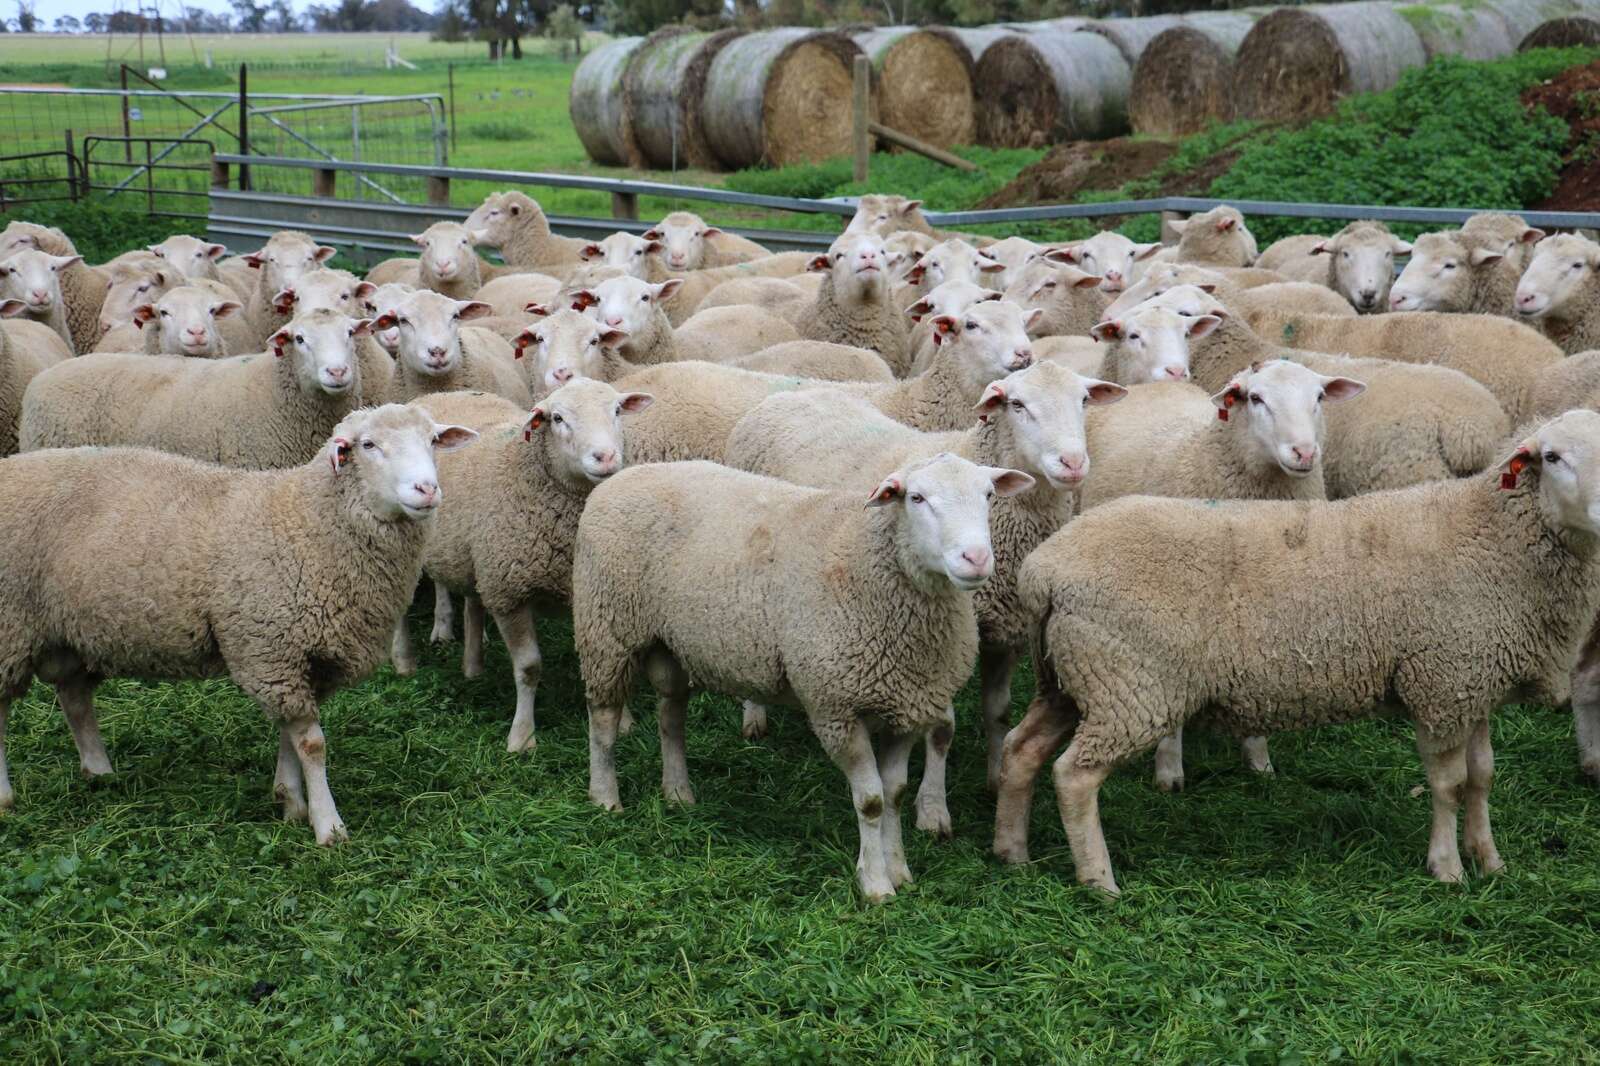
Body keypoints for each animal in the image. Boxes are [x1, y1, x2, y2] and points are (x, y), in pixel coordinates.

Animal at [0, 404, 477, 843]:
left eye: (433, 441)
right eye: (368, 445)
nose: (427, 489)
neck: (305, 524)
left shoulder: (298, 659)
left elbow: (289, 736)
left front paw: (290, 801)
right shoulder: (271, 650)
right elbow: (312, 744)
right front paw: (328, 825)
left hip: (64, 630)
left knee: (75, 698)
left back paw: (100, 773)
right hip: (10, 626)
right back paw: (7, 798)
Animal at [399, 381, 654, 750]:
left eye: (617, 410)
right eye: (558, 418)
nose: (606, 457)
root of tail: (443, 393)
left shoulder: (588, 596)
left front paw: (625, 723)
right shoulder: (510, 594)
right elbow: (529, 668)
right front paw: (522, 737)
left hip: (475, 554)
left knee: (472, 601)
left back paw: (472, 665)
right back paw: (406, 657)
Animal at [573, 452, 1031, 901]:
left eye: (989, 495)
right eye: (916, 498)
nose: (976, 559)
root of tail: (626, 476)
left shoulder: (904, 708)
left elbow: (895, 795)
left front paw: (899, 869)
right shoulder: (836, 709)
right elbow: (871, 801)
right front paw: (875, 885)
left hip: (666, 641)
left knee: (671, 715)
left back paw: (678, 792)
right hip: (607, 630)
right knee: (603, 720)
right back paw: (605, 797)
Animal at [727, 362, 1124, 834]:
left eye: (1083, 400)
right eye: (1017, 404)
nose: (1073, 463)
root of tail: (787, 395)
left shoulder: (1001, 631)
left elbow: (999, 711)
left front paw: (996, 781)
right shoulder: (945, 638)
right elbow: (942, 729)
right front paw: (933, 809)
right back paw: (754, 714)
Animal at [994, 409, 1600, 893]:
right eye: (1552, 457)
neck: (1495, 539)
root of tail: (1045, 570)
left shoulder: (1474, 683)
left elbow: (1482, 779)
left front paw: (1490, 862)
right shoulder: (1442, 684)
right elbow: (1449, 785)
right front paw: (1447, 869)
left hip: (1074, 679)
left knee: (1021, 750)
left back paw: (1012, 852)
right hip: (1130, 686)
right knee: (1074, 776)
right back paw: (1099, 882)